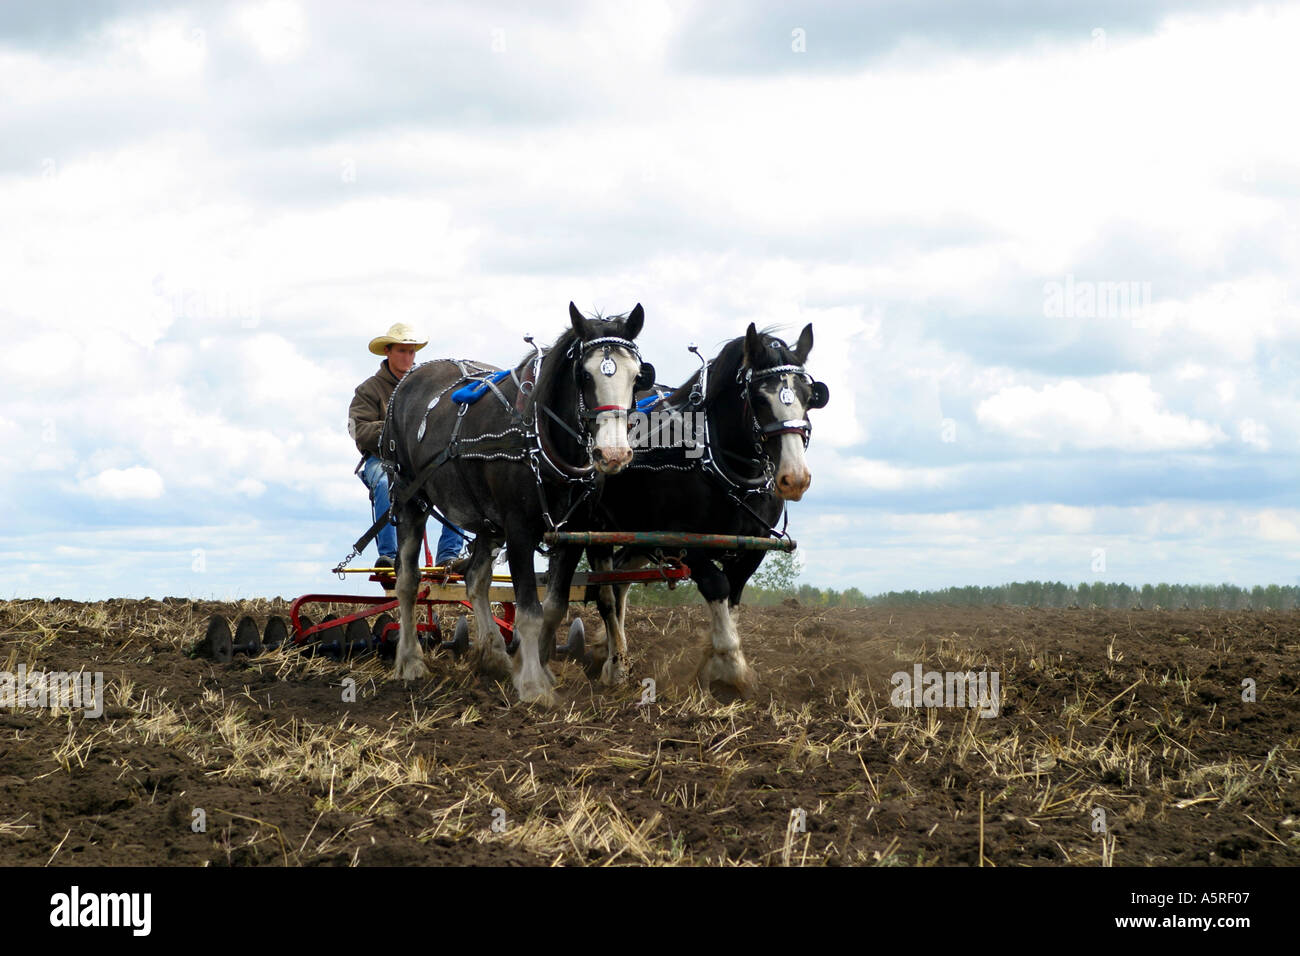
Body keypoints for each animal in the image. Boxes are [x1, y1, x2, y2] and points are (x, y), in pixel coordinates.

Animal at [381, 303, 654, 704]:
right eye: (584, 376)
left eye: (637, 376)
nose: (614, 454)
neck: (540, 436)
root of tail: (409, 380)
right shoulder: (520, 528)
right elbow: (528, 609)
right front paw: (533, 685)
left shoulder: (571, 532)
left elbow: (553, 607)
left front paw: (537, 665)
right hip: (409, 497)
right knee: (407, 581)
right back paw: (410, 661)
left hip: (487, 522)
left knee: (475, 579)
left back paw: (494, 654)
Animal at [566, 322, 828, 698]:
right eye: (759, 398)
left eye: (809, 396)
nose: (795, 478)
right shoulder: (685, 540)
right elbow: (717, 585)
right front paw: (731, 668)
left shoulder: (752, 548)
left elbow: (732, 597)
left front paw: (716, 661)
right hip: (598, 529)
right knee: (606, 594)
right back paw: (614, 666)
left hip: (639, 535)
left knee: (619, 581)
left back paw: (606, 649)